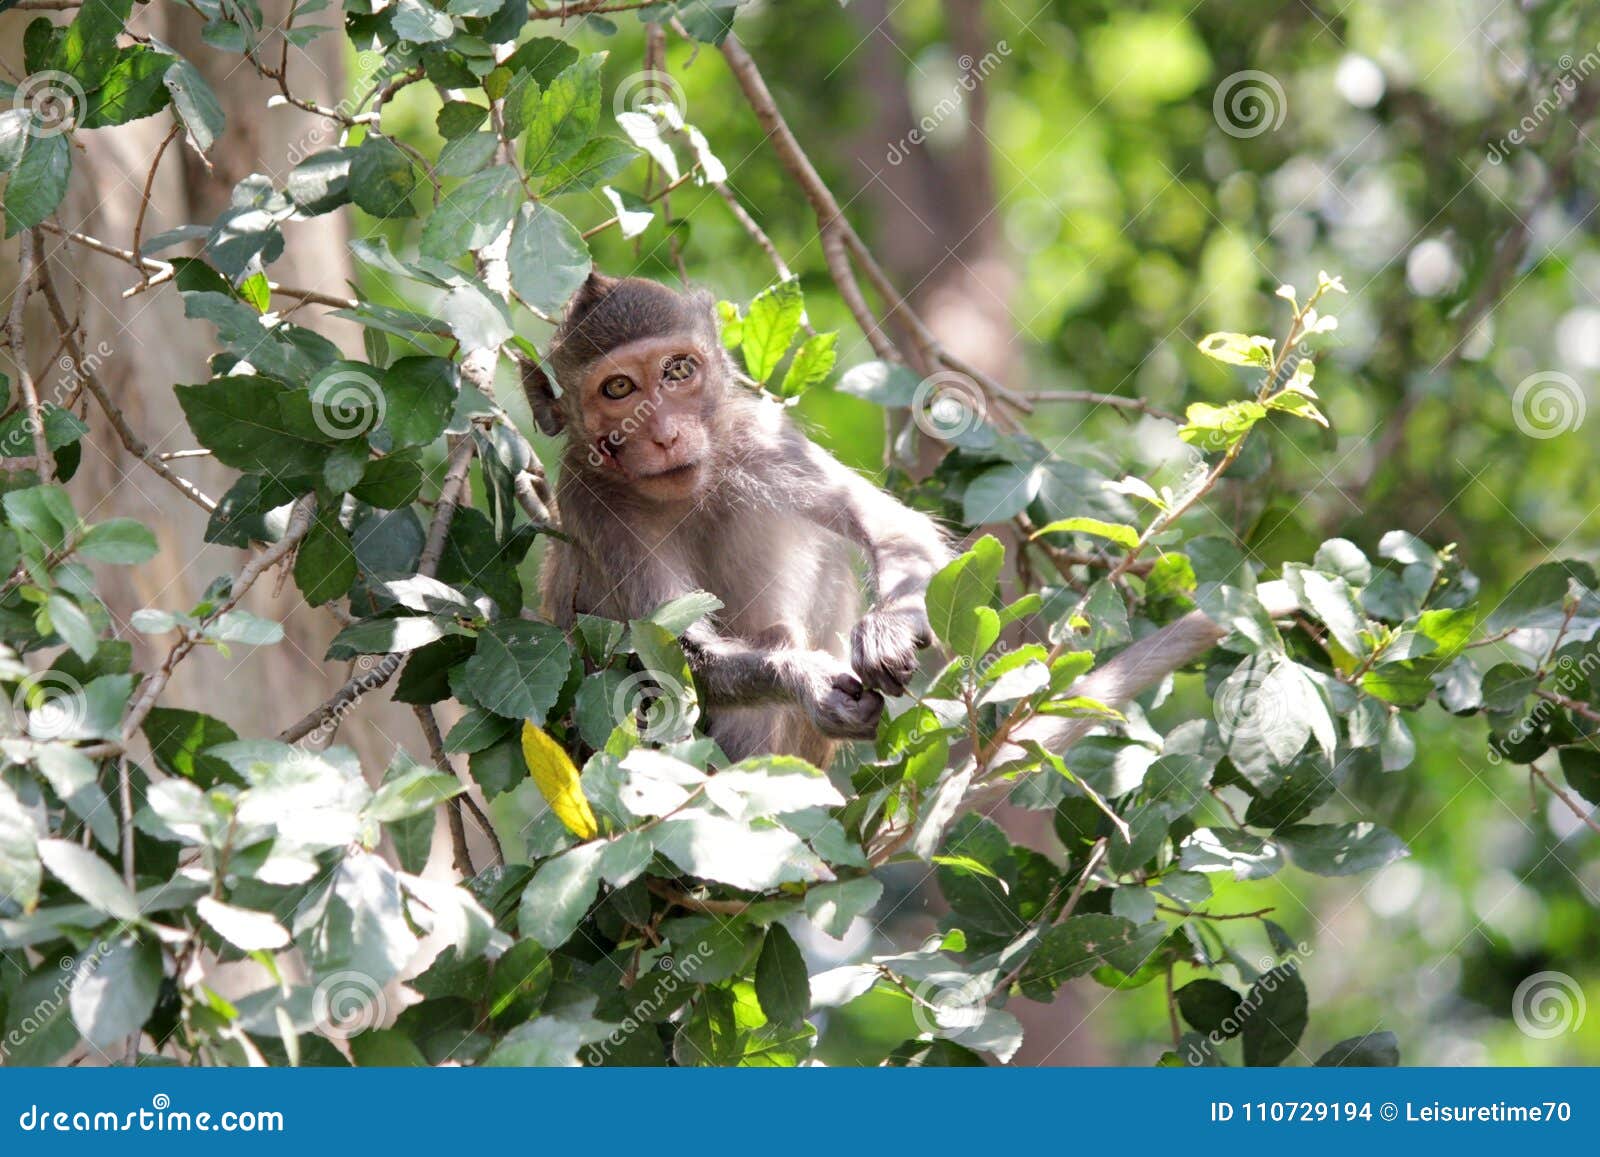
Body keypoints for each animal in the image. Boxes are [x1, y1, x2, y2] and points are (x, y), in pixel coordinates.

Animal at [522, 272, 952, 767]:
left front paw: (889, 630)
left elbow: (894, 529)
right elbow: (674, 651)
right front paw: (806, 680)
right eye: (618, 388)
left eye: (678, 371)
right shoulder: (589, 502)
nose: (666, 435)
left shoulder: (758, 434)